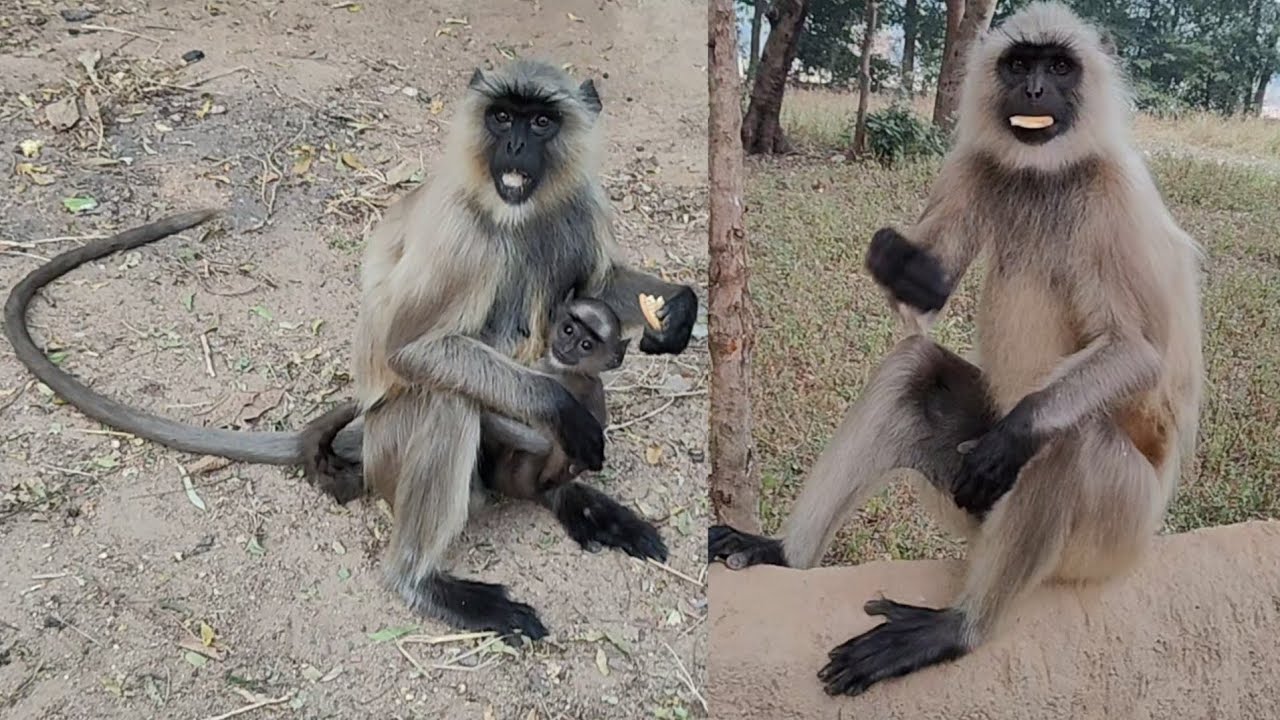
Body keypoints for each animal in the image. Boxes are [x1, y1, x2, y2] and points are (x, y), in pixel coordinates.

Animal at [4, 60, 698, 641]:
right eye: (502, 117)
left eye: (542, 121)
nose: (515, 146)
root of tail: (365, 434)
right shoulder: (463, 234)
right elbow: (410, 351)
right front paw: (560, 407)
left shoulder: (582, 203)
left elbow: (602, 285)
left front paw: (678, 309)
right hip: (394, 448)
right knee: (446, 401)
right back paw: (422, 582)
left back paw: (572, 498)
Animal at [708, 1, 1203, 699]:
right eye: (1020, 65)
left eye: (1059, 67)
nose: (1033, 92)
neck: (1045, 176)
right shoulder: (972, 167)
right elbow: (920, 314)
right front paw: (909, 274)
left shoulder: (1114, 194)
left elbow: (1142, 354)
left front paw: (1015, 435)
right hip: (973, 502)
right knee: (915, 370)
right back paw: (781, 552)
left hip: (1116, 533)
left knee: (1069, 439)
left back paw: (957, 629)